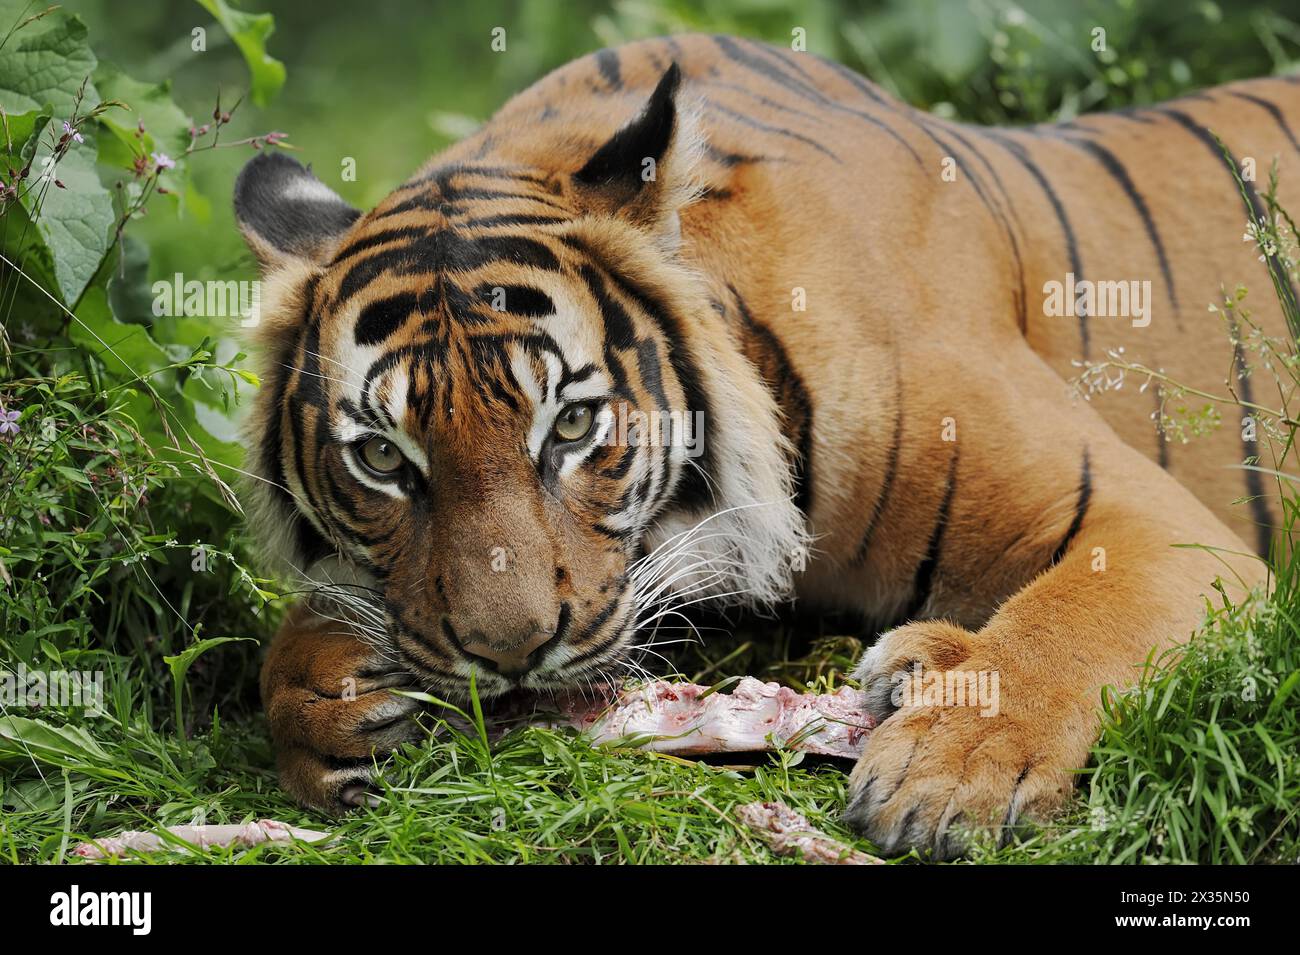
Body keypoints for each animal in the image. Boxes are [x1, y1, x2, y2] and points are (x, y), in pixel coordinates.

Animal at [235, 33, 1293, 859]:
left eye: (572, 425)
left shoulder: (1152, 525)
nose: (512, 654)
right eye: (382, 458)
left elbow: (1066, 624)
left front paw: (948, 772)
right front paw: (322, 697)